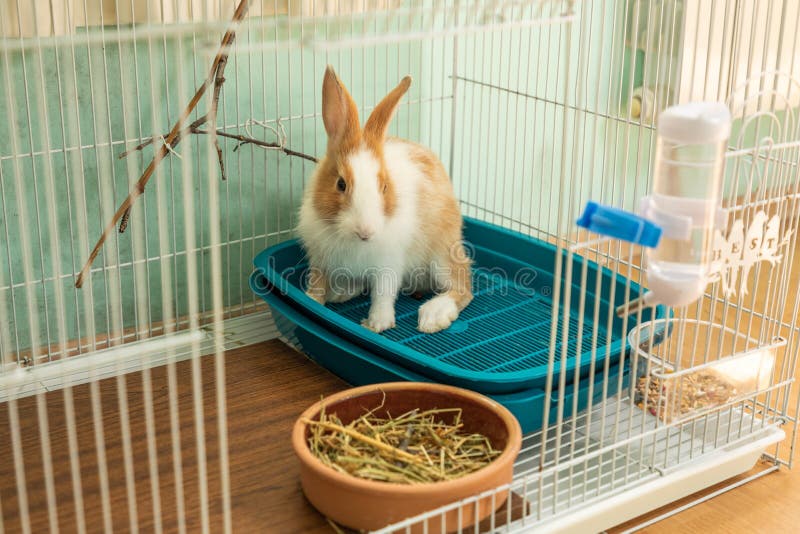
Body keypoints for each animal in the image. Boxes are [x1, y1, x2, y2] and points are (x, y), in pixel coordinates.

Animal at [296, 66, 473, 334]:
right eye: (341, 184)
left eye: (385, 186)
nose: (365, 231)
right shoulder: (320, 259)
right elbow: (317, 284)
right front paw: (312, 301)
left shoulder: (388, 264)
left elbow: (383, 293)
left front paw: (377, 324)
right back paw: (342, 292)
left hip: (441, 253)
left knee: (463, 285)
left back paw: (433, 315)